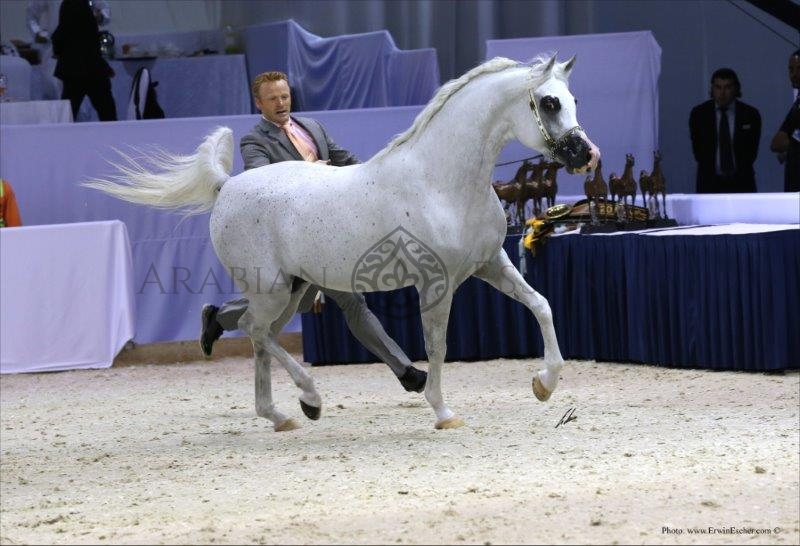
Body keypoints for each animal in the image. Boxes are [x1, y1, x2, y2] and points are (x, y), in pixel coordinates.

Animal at [86, 55, 600, 432]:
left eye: (574, 98)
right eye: (549, 103)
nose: (587, 155)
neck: (439, 181)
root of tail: (227, 186)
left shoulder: (490, 264)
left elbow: (542, 305)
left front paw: (544, 384)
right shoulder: (435, 284)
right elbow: (436, 346)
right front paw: (442, 411)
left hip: (292, 292)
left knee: (260, 338)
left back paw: (283, 415)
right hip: (270, 289)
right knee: (253, 330)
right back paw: (308, 394)